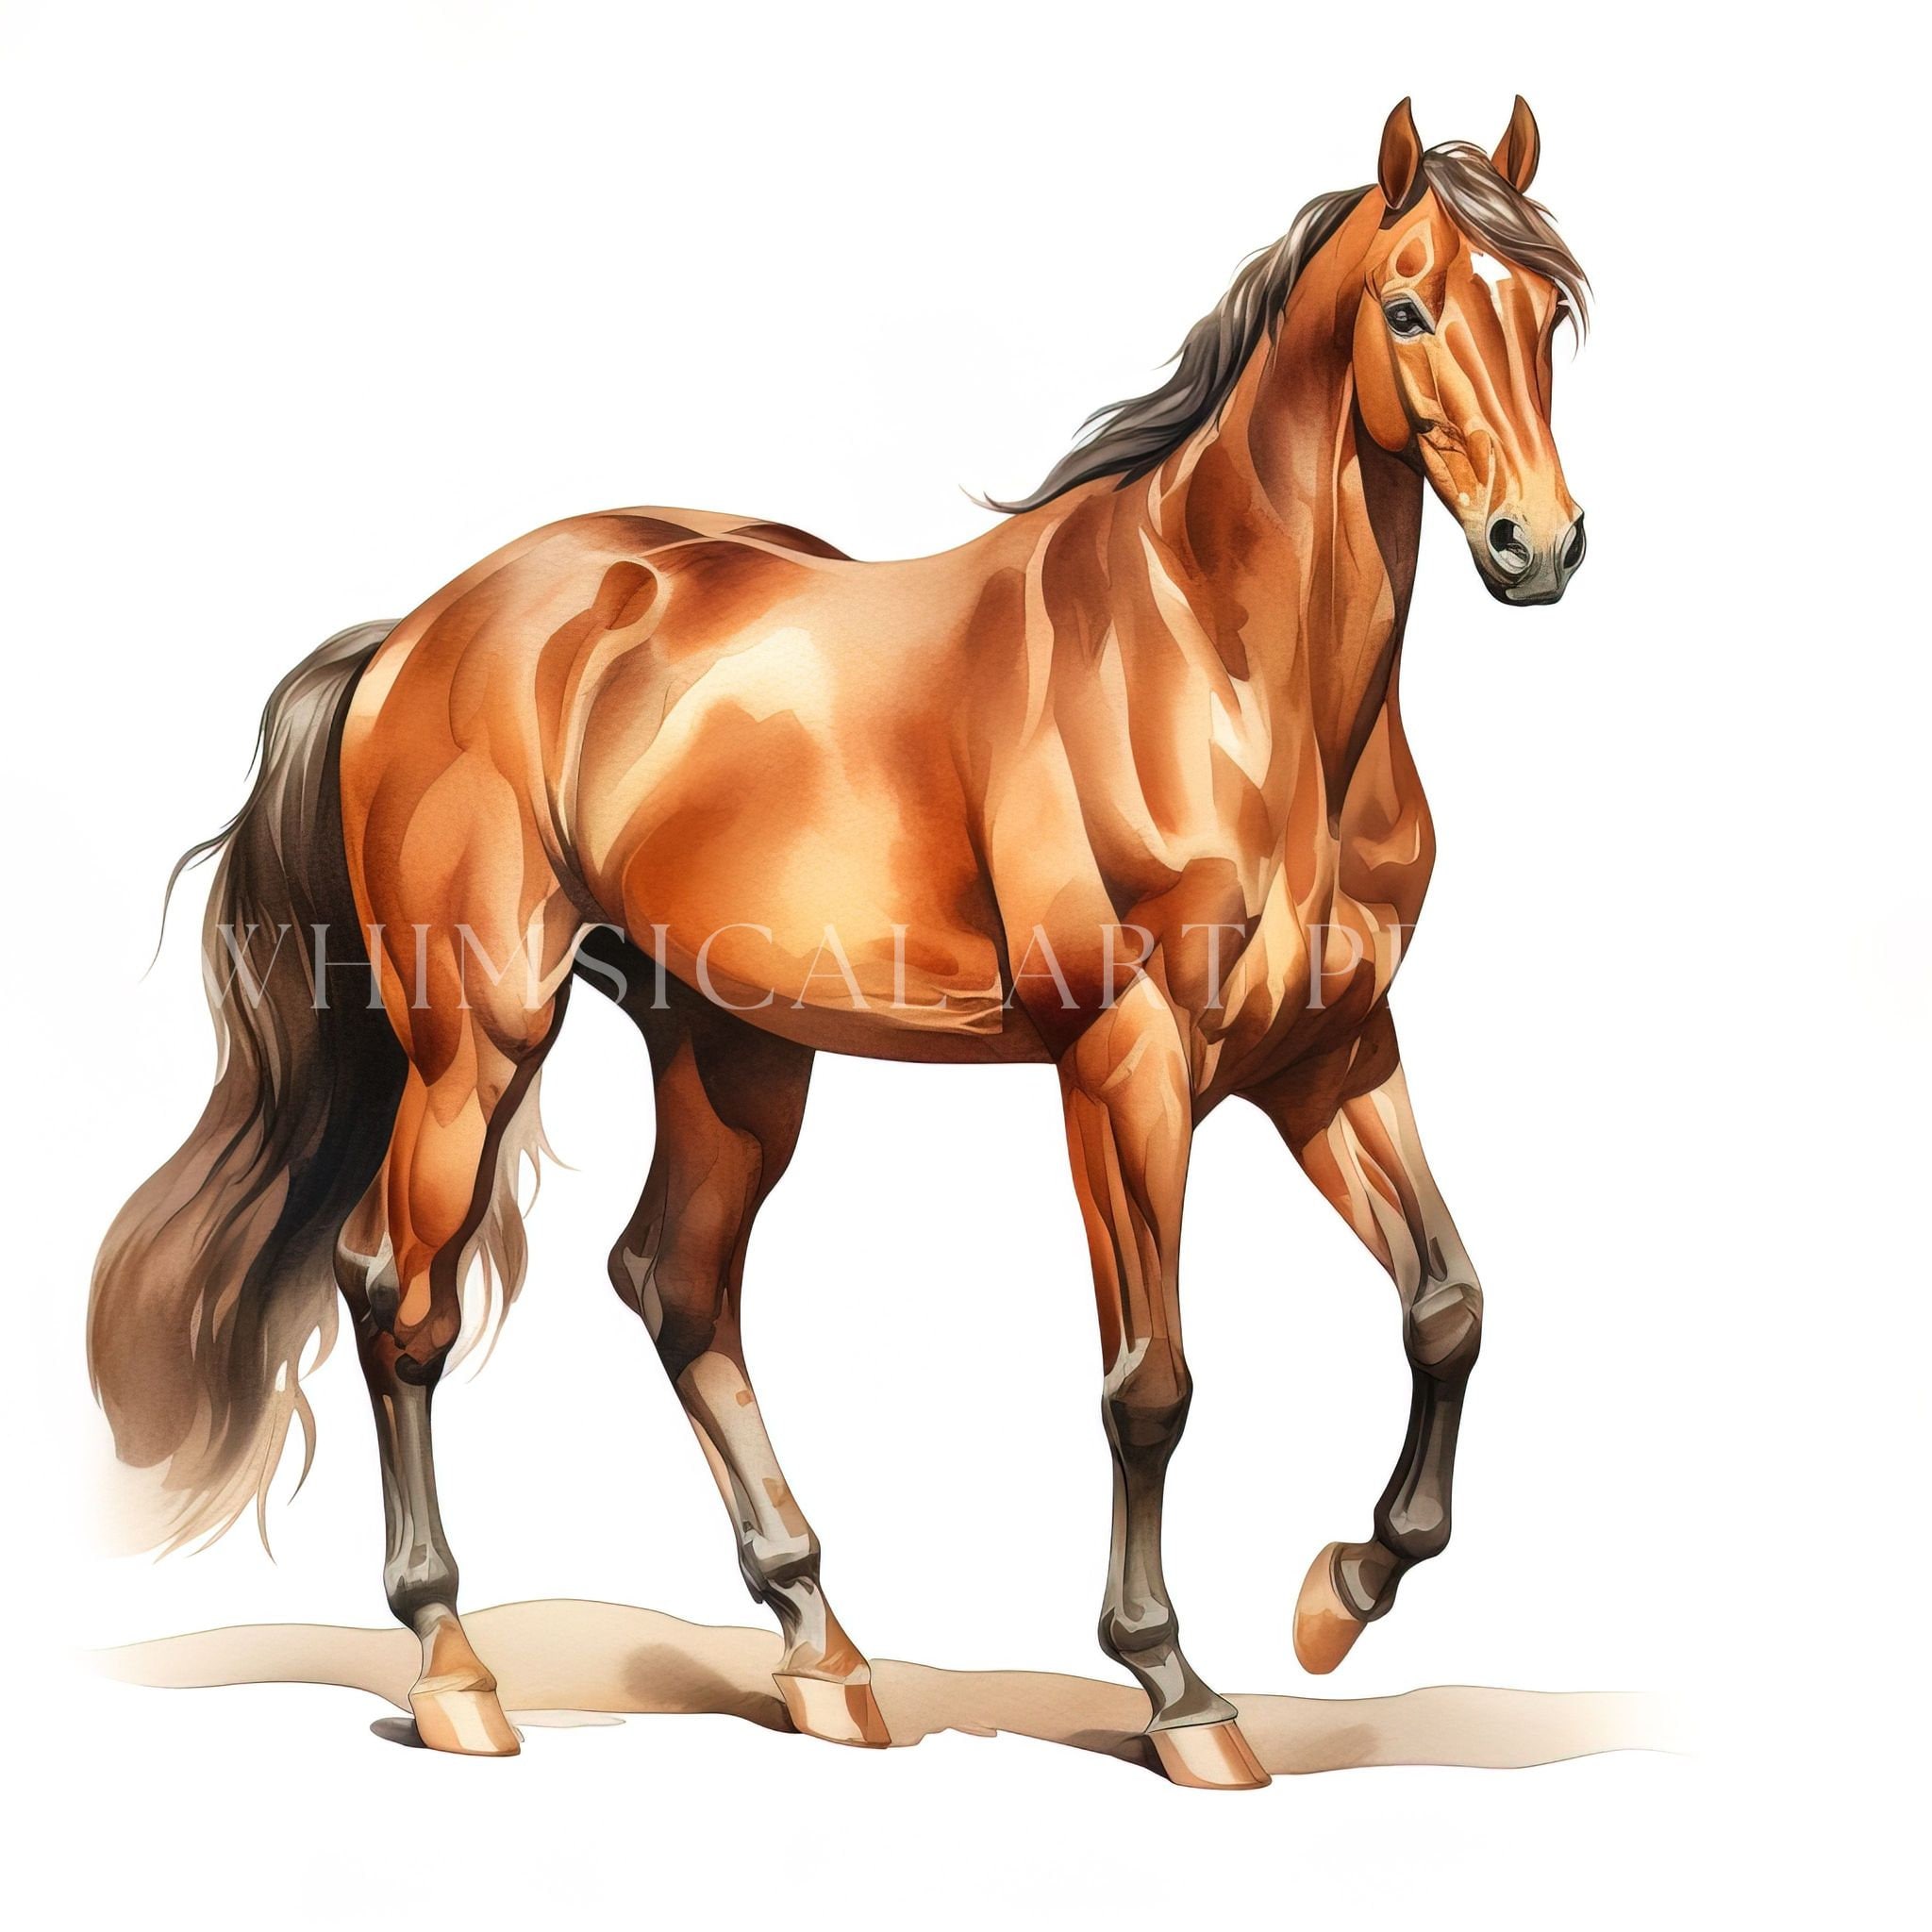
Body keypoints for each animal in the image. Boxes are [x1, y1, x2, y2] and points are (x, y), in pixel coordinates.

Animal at [91, 97, 1589, 1789]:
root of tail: (414, 636)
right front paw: (1178, 1689)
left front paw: (1340, 1594)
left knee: (674, 1284)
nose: (1539, 546)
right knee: (397, 1295)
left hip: (729, 1045)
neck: (1226, 673)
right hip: (479, 1034)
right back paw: (455, 1670)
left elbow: (1448, 1306)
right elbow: (1150, 1384)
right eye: (1407, 308)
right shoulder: (1125, 1065)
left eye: (1549, 313)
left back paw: (821, 1649)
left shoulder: (1329, 1052)